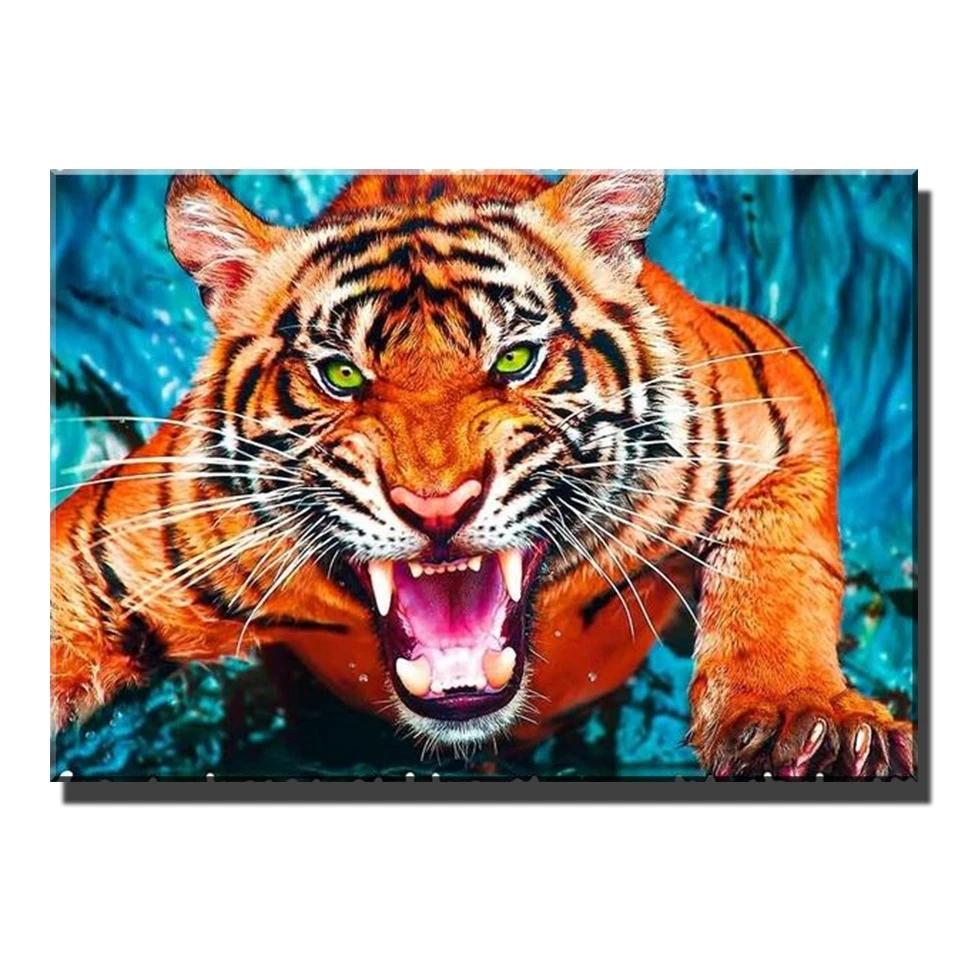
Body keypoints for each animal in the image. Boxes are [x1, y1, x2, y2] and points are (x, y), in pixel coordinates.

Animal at [51, 170, 915, 777]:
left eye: (515, 360)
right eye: (341, 375)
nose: (437, 507)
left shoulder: (776, 399)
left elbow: (777, 564)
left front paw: (803, 718)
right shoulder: (112, 549)